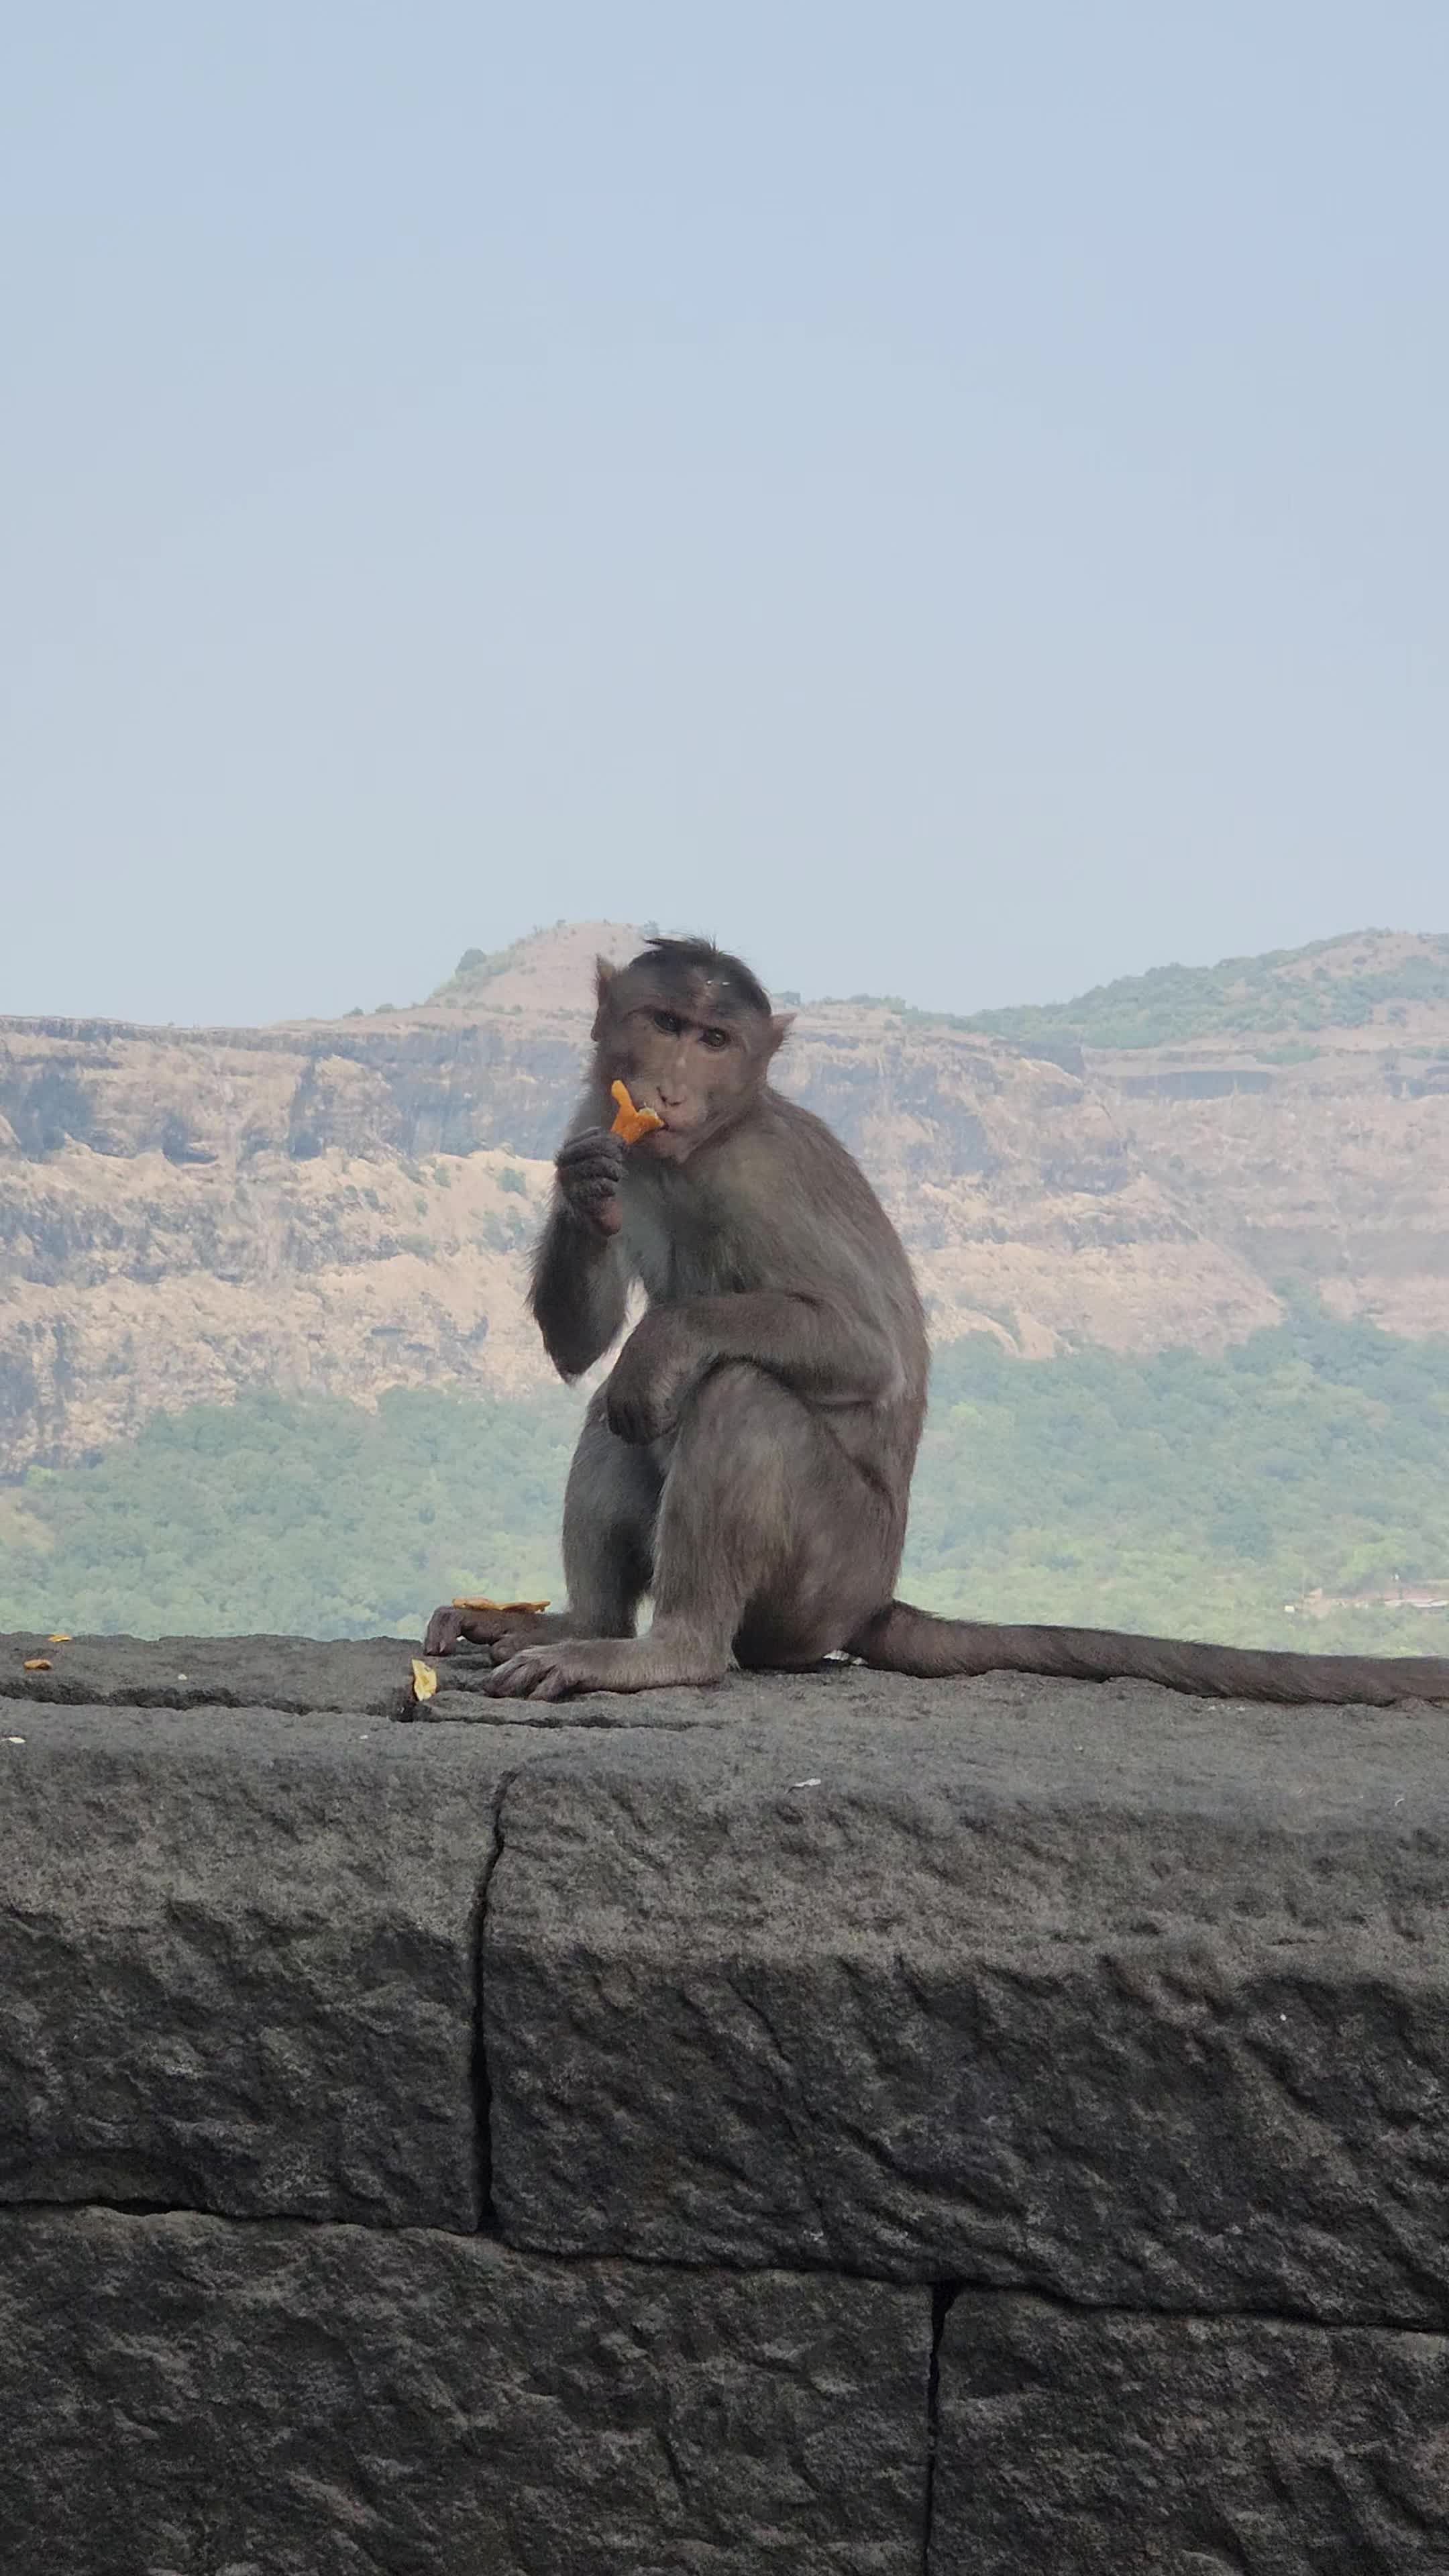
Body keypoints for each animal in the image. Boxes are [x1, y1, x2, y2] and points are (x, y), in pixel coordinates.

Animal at [422, 936, 1449, 1708]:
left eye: (716, 1038)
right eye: (666, 1025)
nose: (670, 1089)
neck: (695, 1149)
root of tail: (871, 1601)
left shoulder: (760, 1179)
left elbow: (861, 1351)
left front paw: (670, 1340)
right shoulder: (600, 1116)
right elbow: (582, 1345)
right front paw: (586, 1188)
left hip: (823, 1576)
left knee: (732, 1391)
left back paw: (668, 1649)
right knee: (620, 1409)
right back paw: (587, 1624)